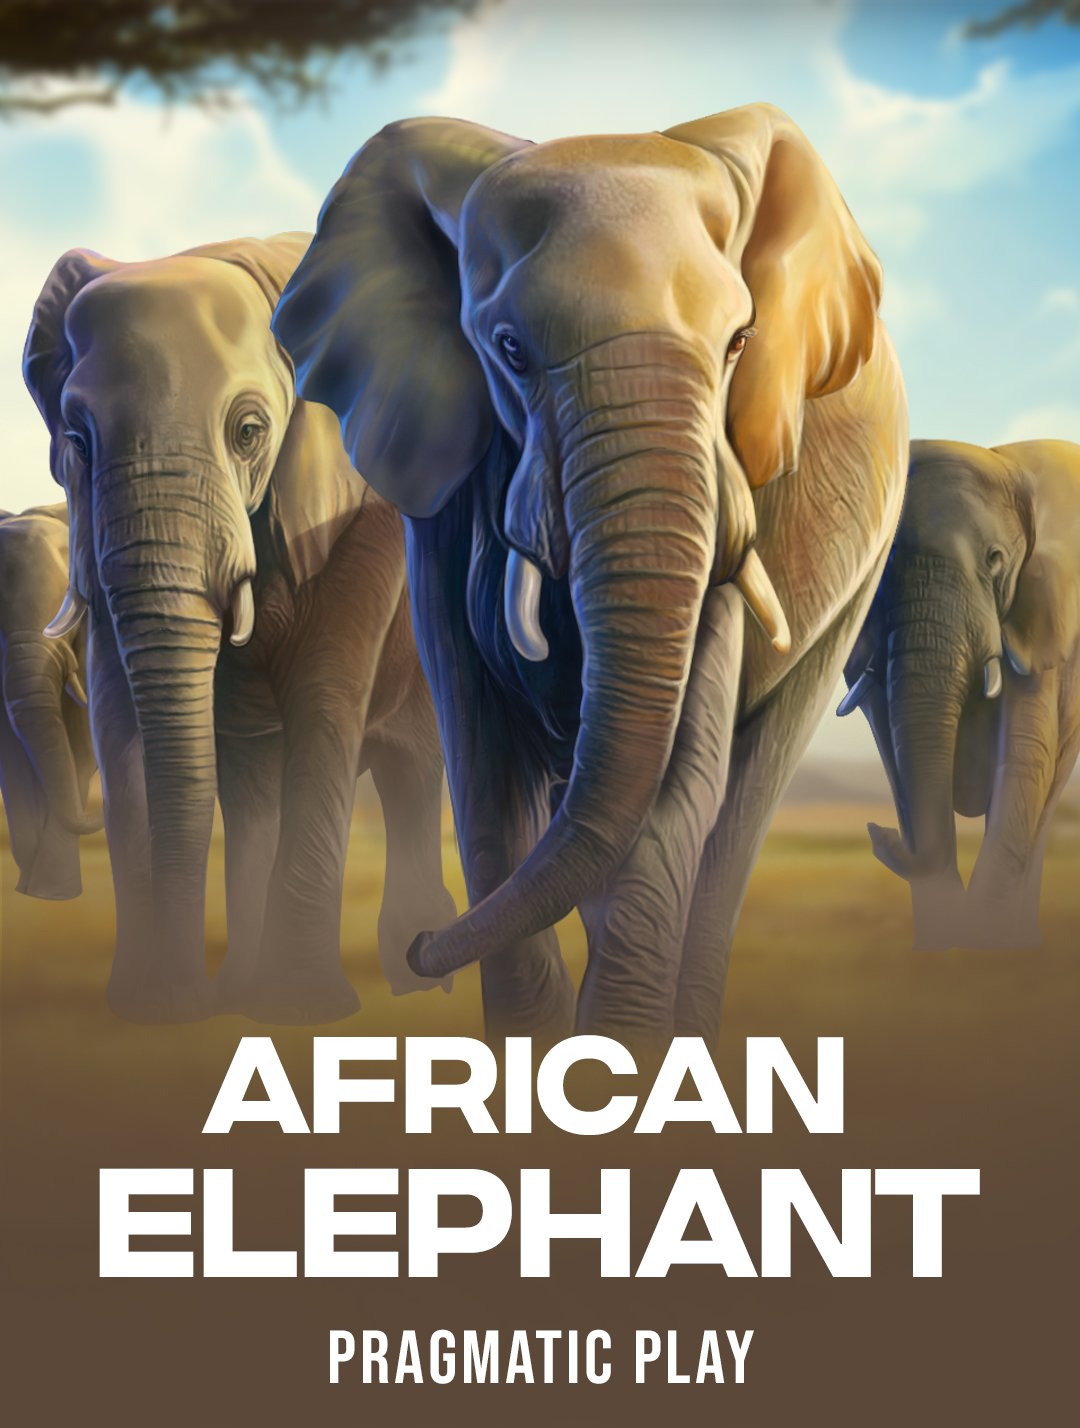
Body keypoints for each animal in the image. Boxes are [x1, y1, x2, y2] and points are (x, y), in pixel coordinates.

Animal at [22, 232, 456, 1024]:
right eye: (79, 439)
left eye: (250, 432)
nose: (182, 1001)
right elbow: (119, 716)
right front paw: (153, 1006)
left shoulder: (366, 515)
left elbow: (324, 699)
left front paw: (299, 1011)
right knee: (255, 792)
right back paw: (237, 991)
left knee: (412, 771)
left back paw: (412, 977)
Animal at [272, 104, 908, 1045]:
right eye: (509, 350)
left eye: (740, 342)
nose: (423, 950)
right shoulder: (444, 493)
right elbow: (484, 768)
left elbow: (679, 787)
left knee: (738, 814)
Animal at [838, 438, 1080, 951]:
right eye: (883, 569)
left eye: (995, 559)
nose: (876, 832)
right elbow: (897, 759)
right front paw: (940, 948)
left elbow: (1025, 755)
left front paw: (987, 945)